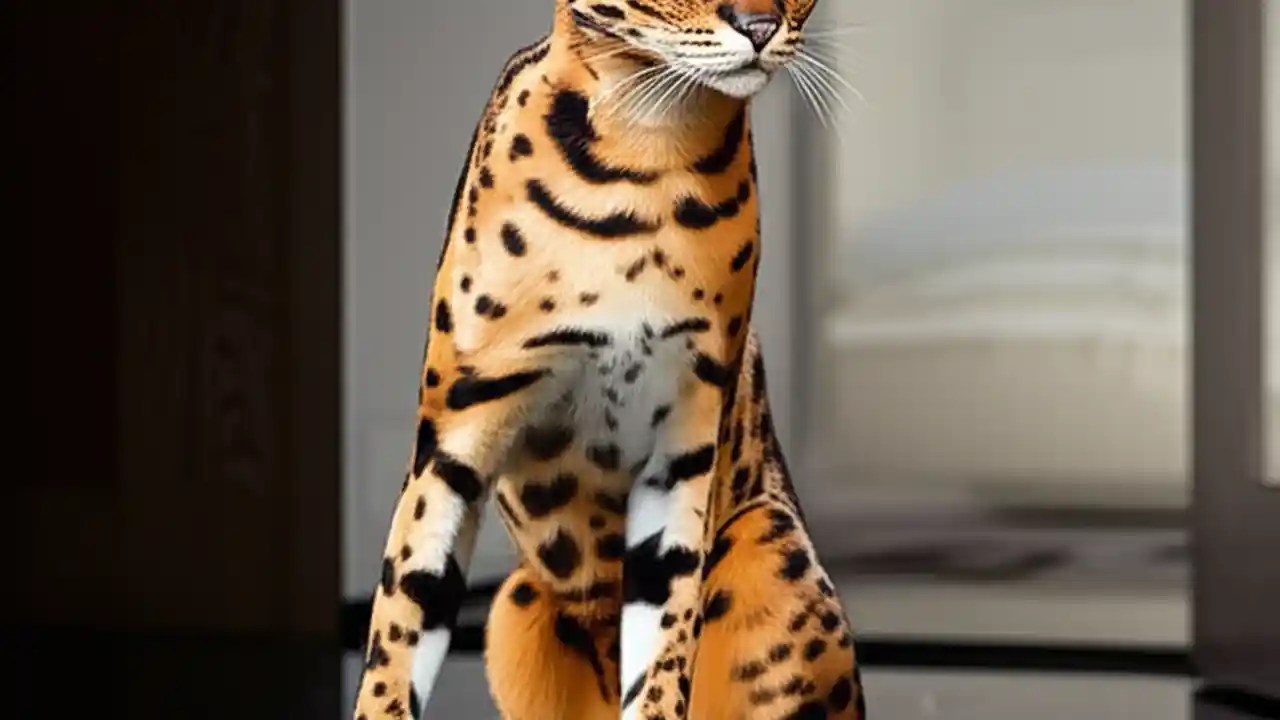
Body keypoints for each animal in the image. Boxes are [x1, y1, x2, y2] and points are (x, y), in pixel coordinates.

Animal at [352, 1, 866, 718]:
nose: (759, 27)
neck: (646, 145)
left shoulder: (682, 448)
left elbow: (664, 644)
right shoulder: (454, 440)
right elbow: (398, 624)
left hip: (772, 545)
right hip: (514, 603)